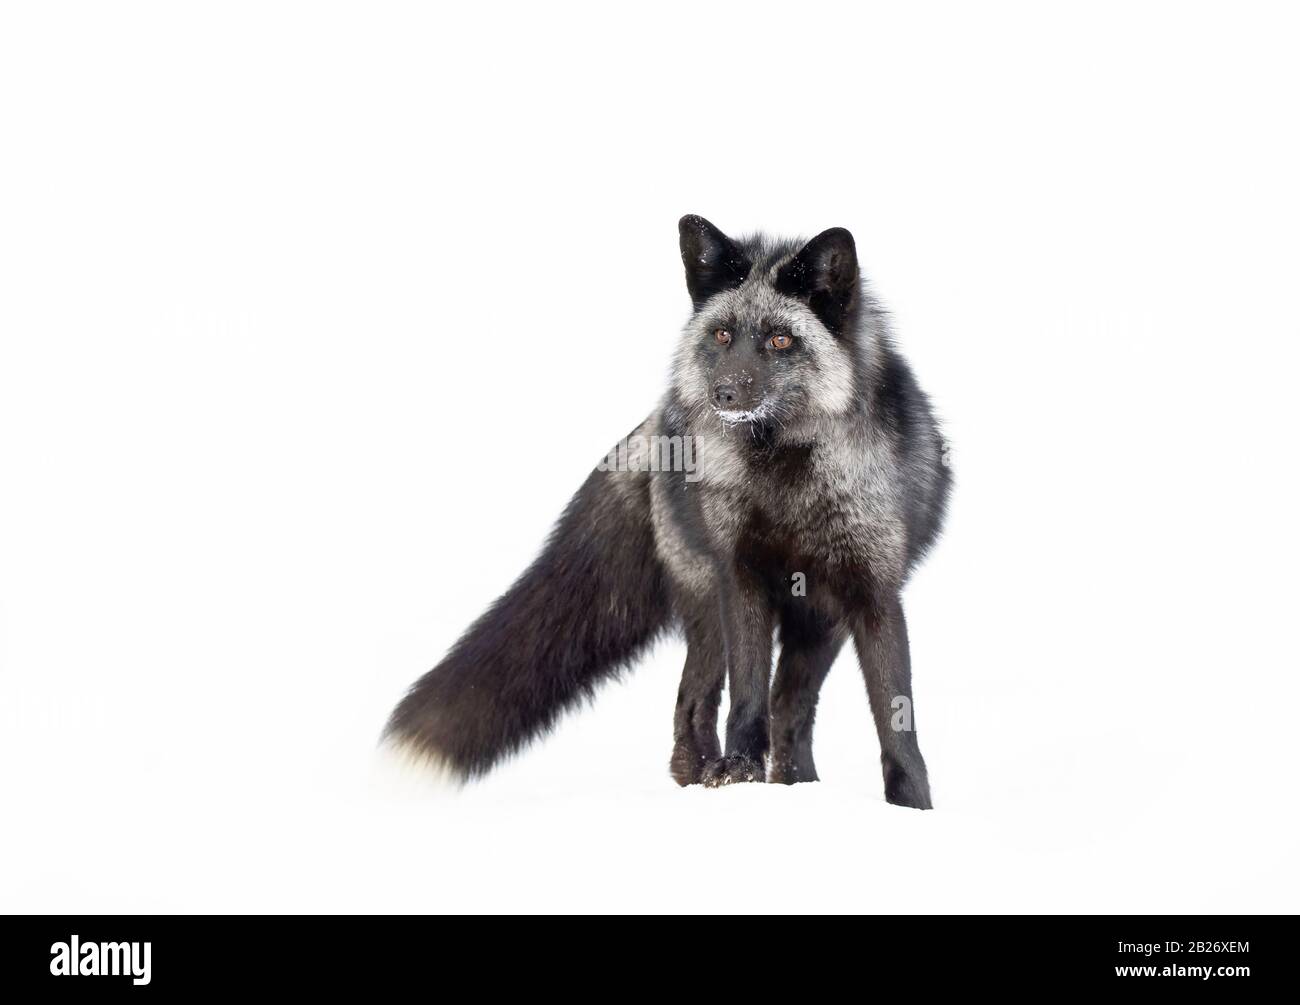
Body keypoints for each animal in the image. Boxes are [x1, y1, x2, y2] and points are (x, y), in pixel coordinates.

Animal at [384, 215, 950, 807]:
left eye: (780, 340)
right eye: (723, 336)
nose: (724, 394)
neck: (785, 482)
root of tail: (661, 417)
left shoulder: (873, 593)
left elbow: (894, 713)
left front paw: (912, 803)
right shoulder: (741, 580)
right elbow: (746, 697)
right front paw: (740, 771)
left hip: (819, 624)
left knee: (790, 705)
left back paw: (793, 782)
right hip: (710, 606)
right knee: (696, 700)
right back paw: (701, 777)